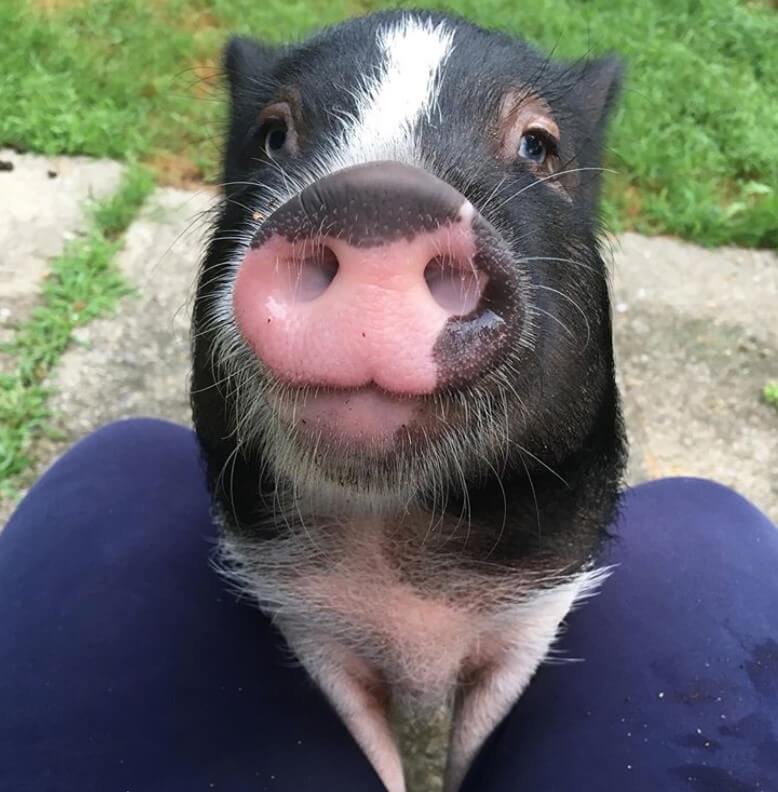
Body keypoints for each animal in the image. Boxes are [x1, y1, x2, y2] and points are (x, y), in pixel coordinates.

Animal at [191, 10, 626, 791]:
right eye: (273, 135)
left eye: (536, 144)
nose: (379, 196)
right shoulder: (302, 614)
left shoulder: (536, 606)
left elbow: (478, 732)